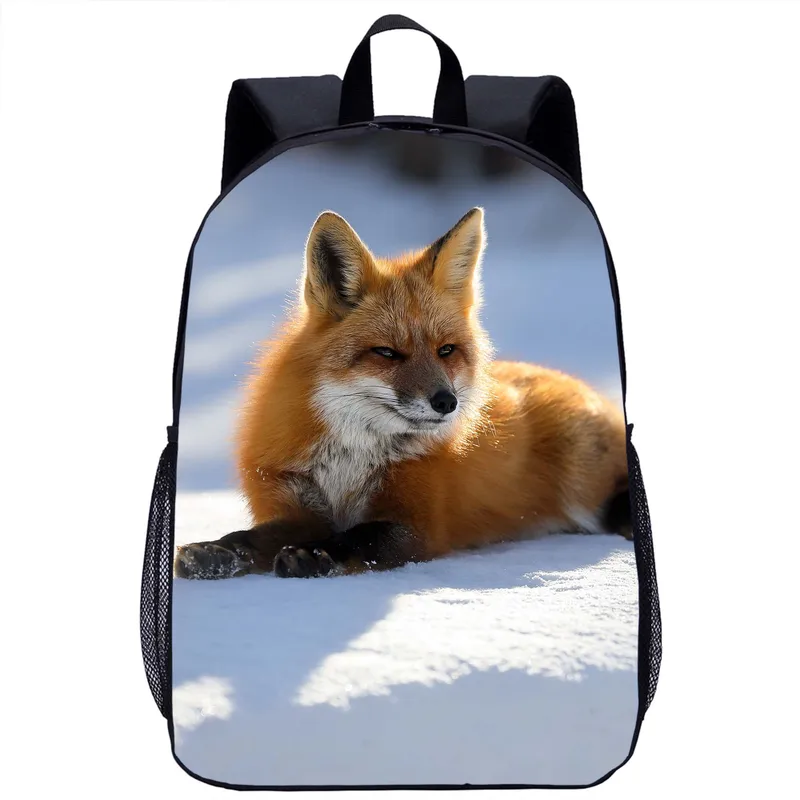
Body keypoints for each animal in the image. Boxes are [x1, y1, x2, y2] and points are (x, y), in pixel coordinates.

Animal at [175, 207, 631, 580]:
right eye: (387, 353)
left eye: (446, 350)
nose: (447, 402)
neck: (348, 462)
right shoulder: (296, 506)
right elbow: (250, 537)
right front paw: (214, 551)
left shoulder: (416, 524)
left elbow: (358, 538)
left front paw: (314, 554)